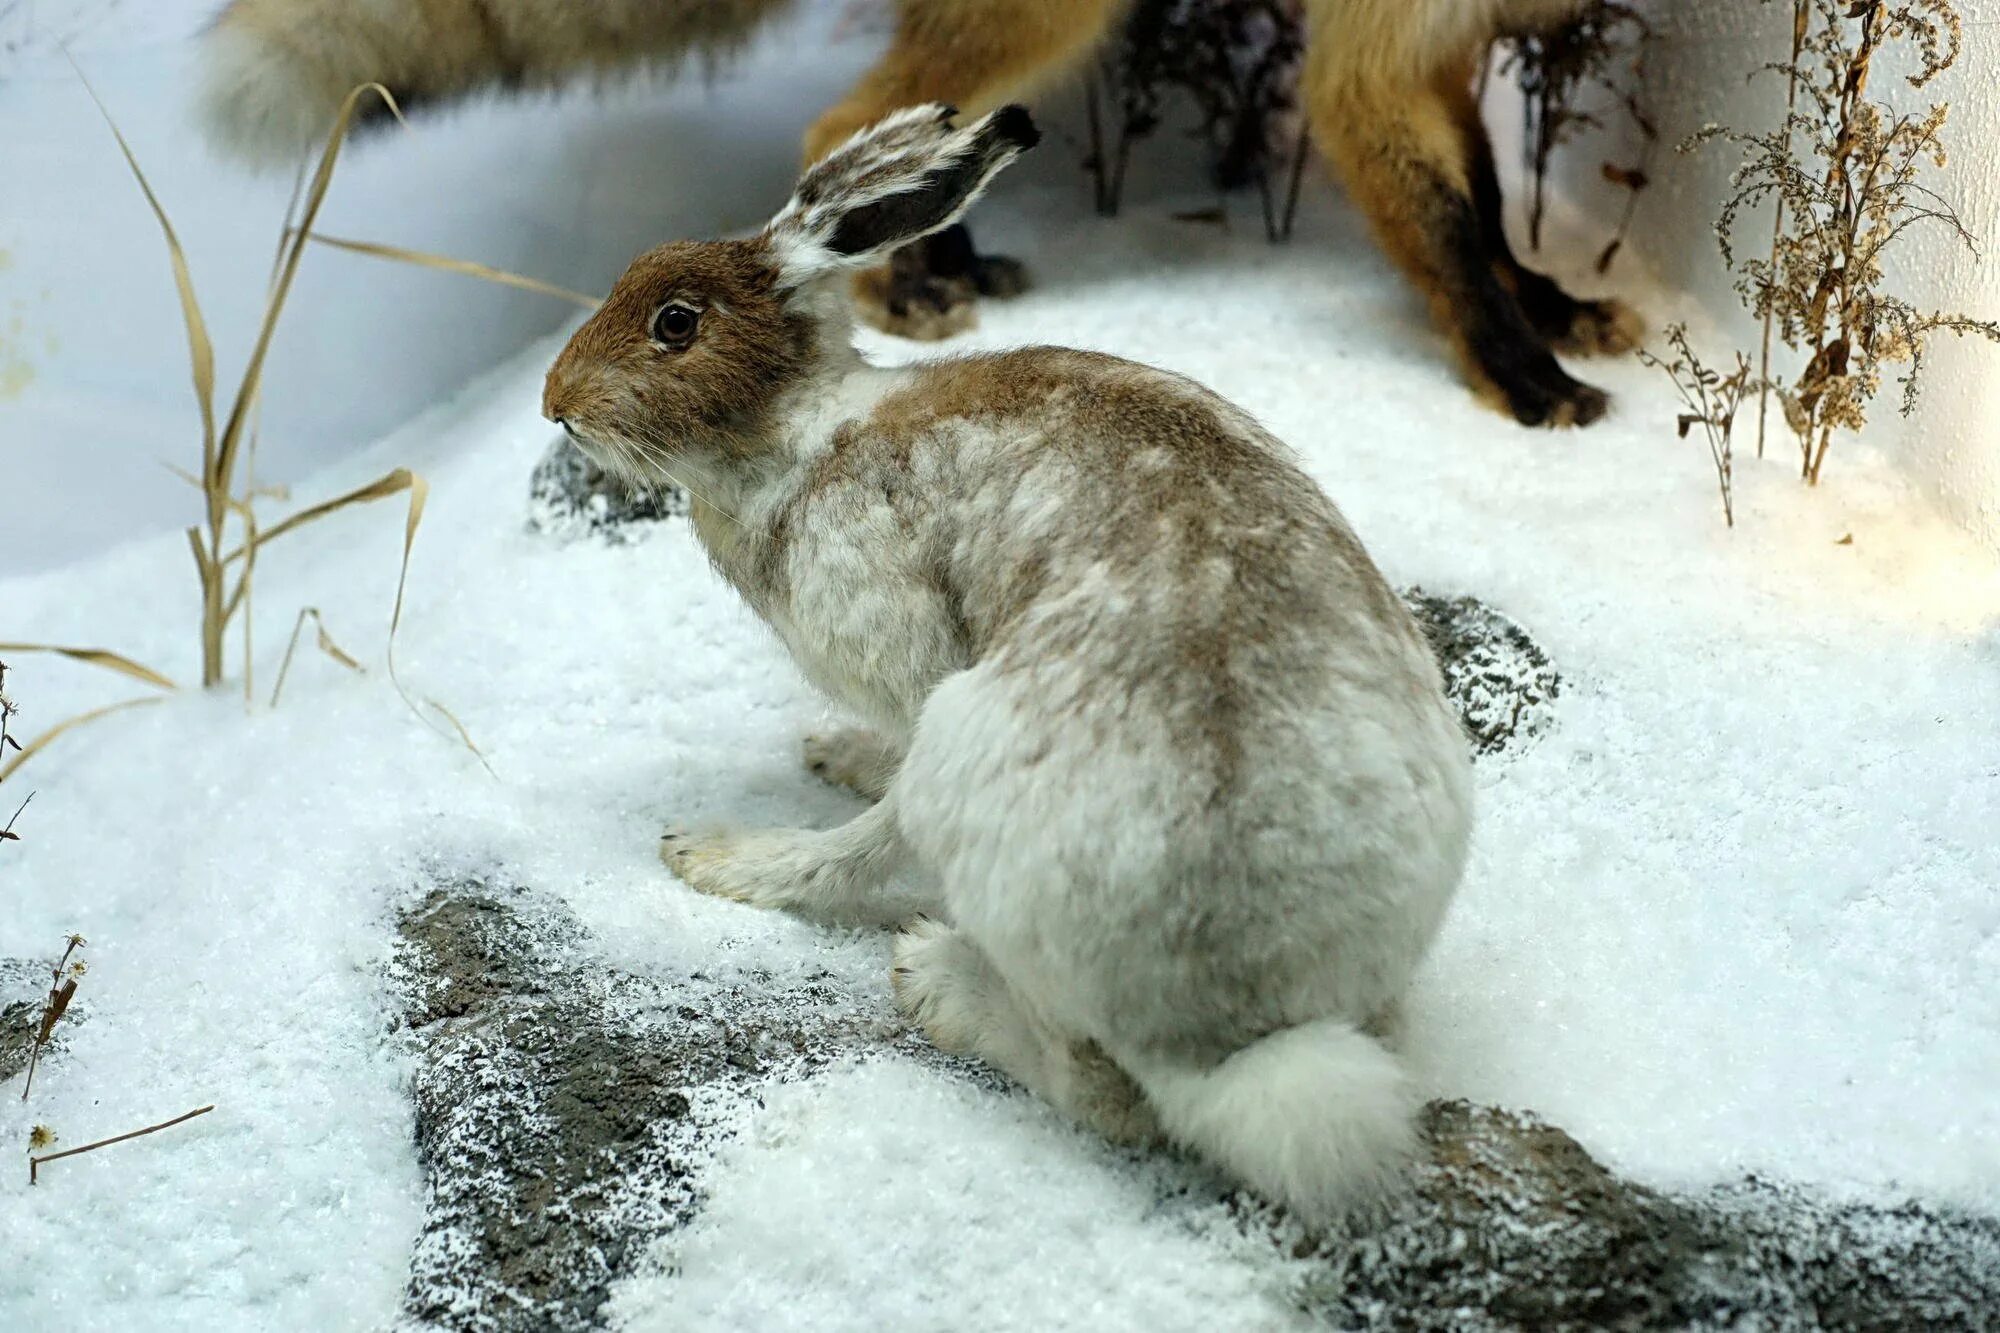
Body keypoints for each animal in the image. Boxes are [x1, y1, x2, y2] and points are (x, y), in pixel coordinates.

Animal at [542, 103, 1474, 1222]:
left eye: (675, 322)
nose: (554, 402)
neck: (800, 436)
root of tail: (1235, 1032)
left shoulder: (899, 638)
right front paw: (835, 748)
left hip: (962, 744)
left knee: (1088, 1079)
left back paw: (895, 956)